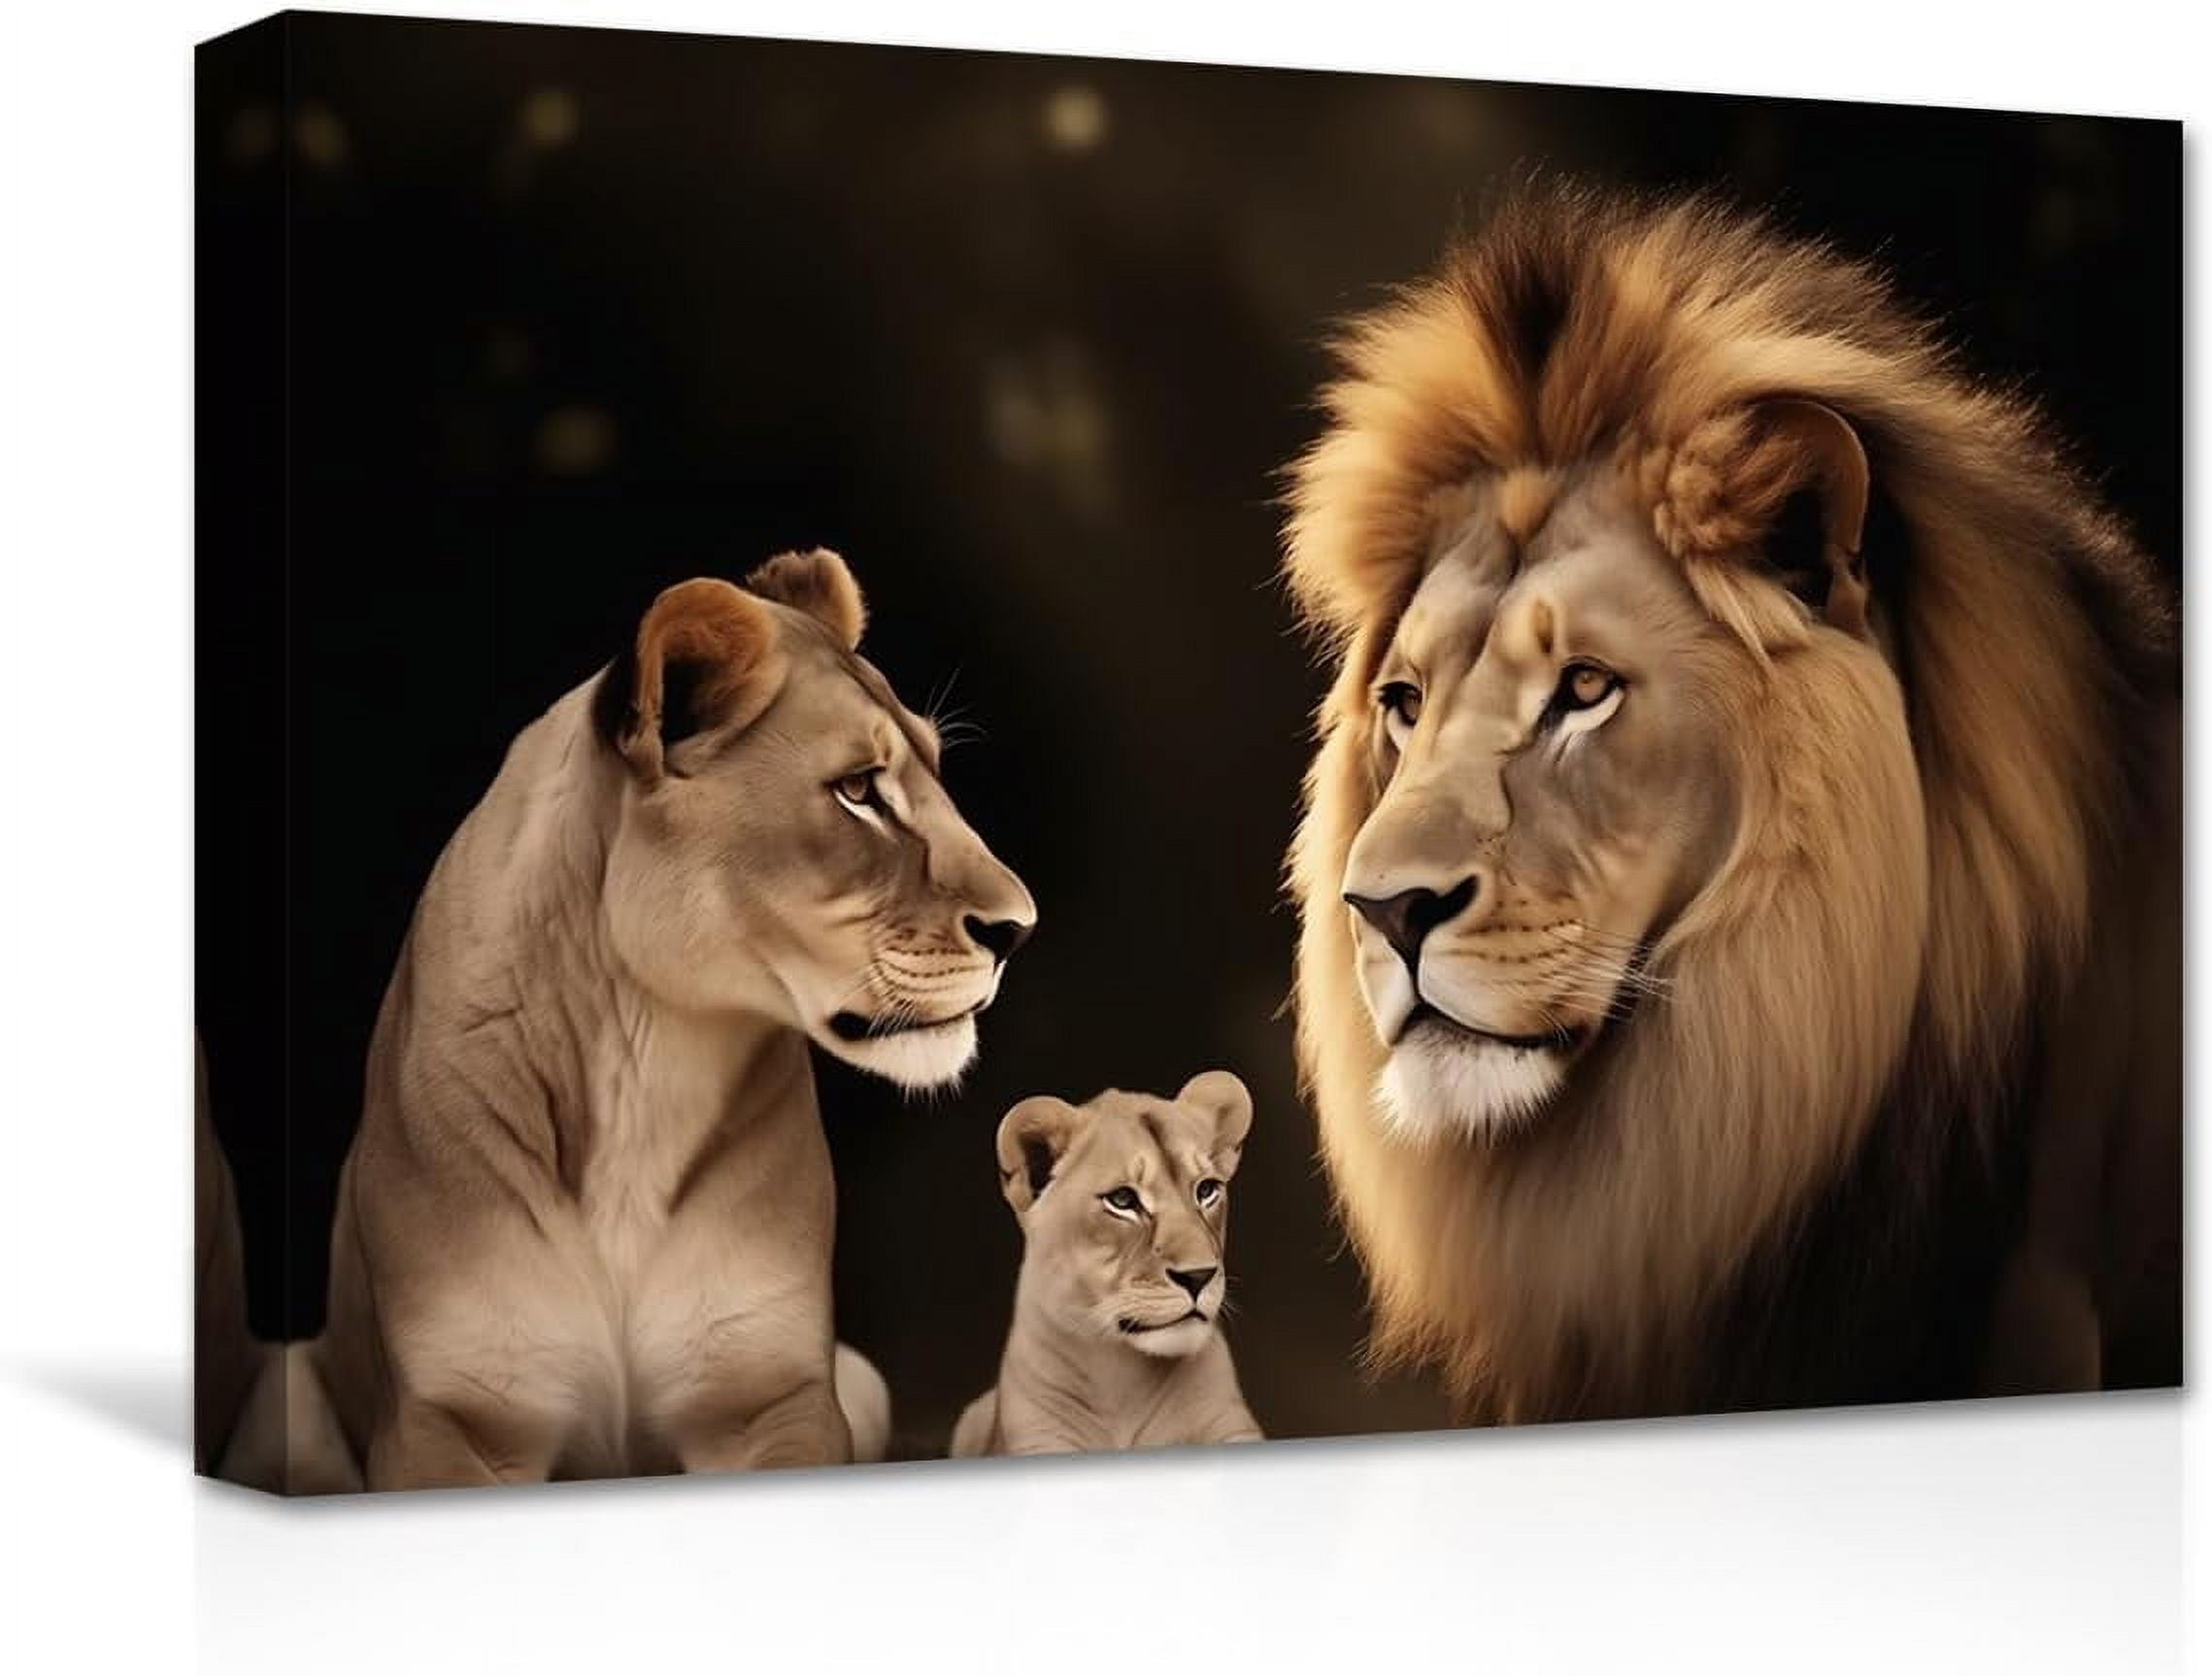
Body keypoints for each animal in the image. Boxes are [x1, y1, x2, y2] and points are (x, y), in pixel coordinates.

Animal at [239, 550, 1035, 1490]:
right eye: (856, 792)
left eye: (933, 772)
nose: (1019, 928)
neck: (643, 1057)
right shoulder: (455, 1420)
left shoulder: (774, 1398)